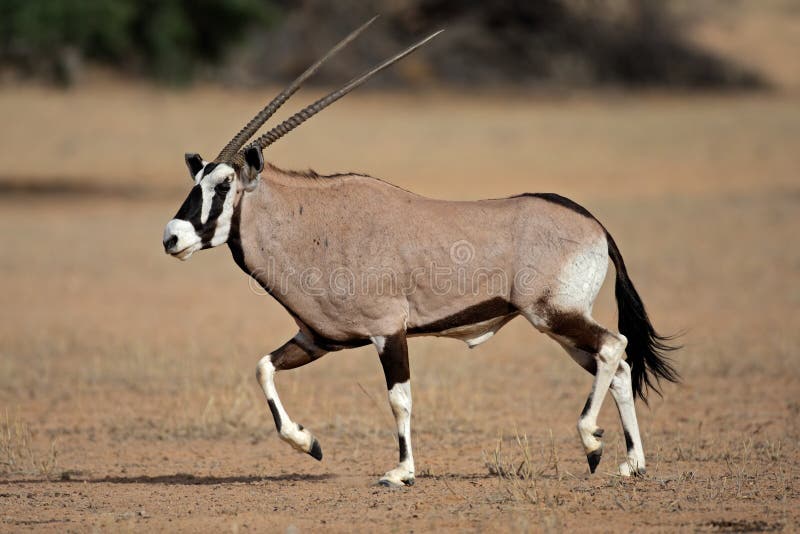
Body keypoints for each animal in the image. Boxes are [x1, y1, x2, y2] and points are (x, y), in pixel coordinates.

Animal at [162, 19, 678, 487]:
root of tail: (595, 225)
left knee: (613, 346)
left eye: (223, 184)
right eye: (197, 180)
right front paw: (308, 443)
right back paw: (632, 464)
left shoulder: (388, 331)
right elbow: (263, 367)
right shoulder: (319, 338)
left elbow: (399, 398)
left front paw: (401, 471)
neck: (314, 224)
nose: (171, 237)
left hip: (553, 314)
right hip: (561, 326)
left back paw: (592, 441)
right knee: (619, 366)